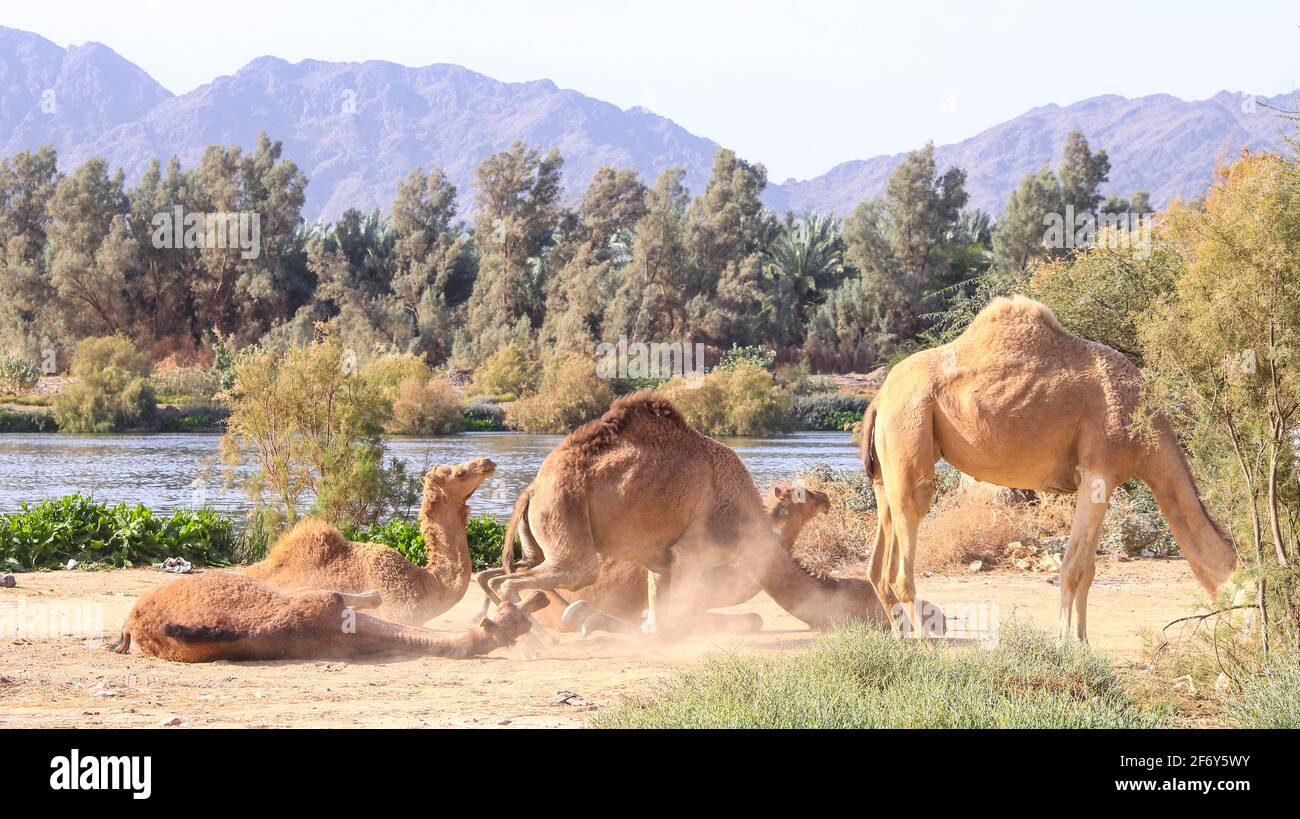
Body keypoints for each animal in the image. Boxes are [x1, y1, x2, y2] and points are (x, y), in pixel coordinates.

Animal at [862, 296, 1237, 641]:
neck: (1146, 436)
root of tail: (879, 399)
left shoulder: (1103, 480)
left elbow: (1087, 568)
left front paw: (1082, 642)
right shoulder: (1099, 472)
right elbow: (1073, 568)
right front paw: (1065, 644)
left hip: (885, 471)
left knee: (880, 561)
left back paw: (902, 639)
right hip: (909, 432)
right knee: (906, 547)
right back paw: (927, 644)